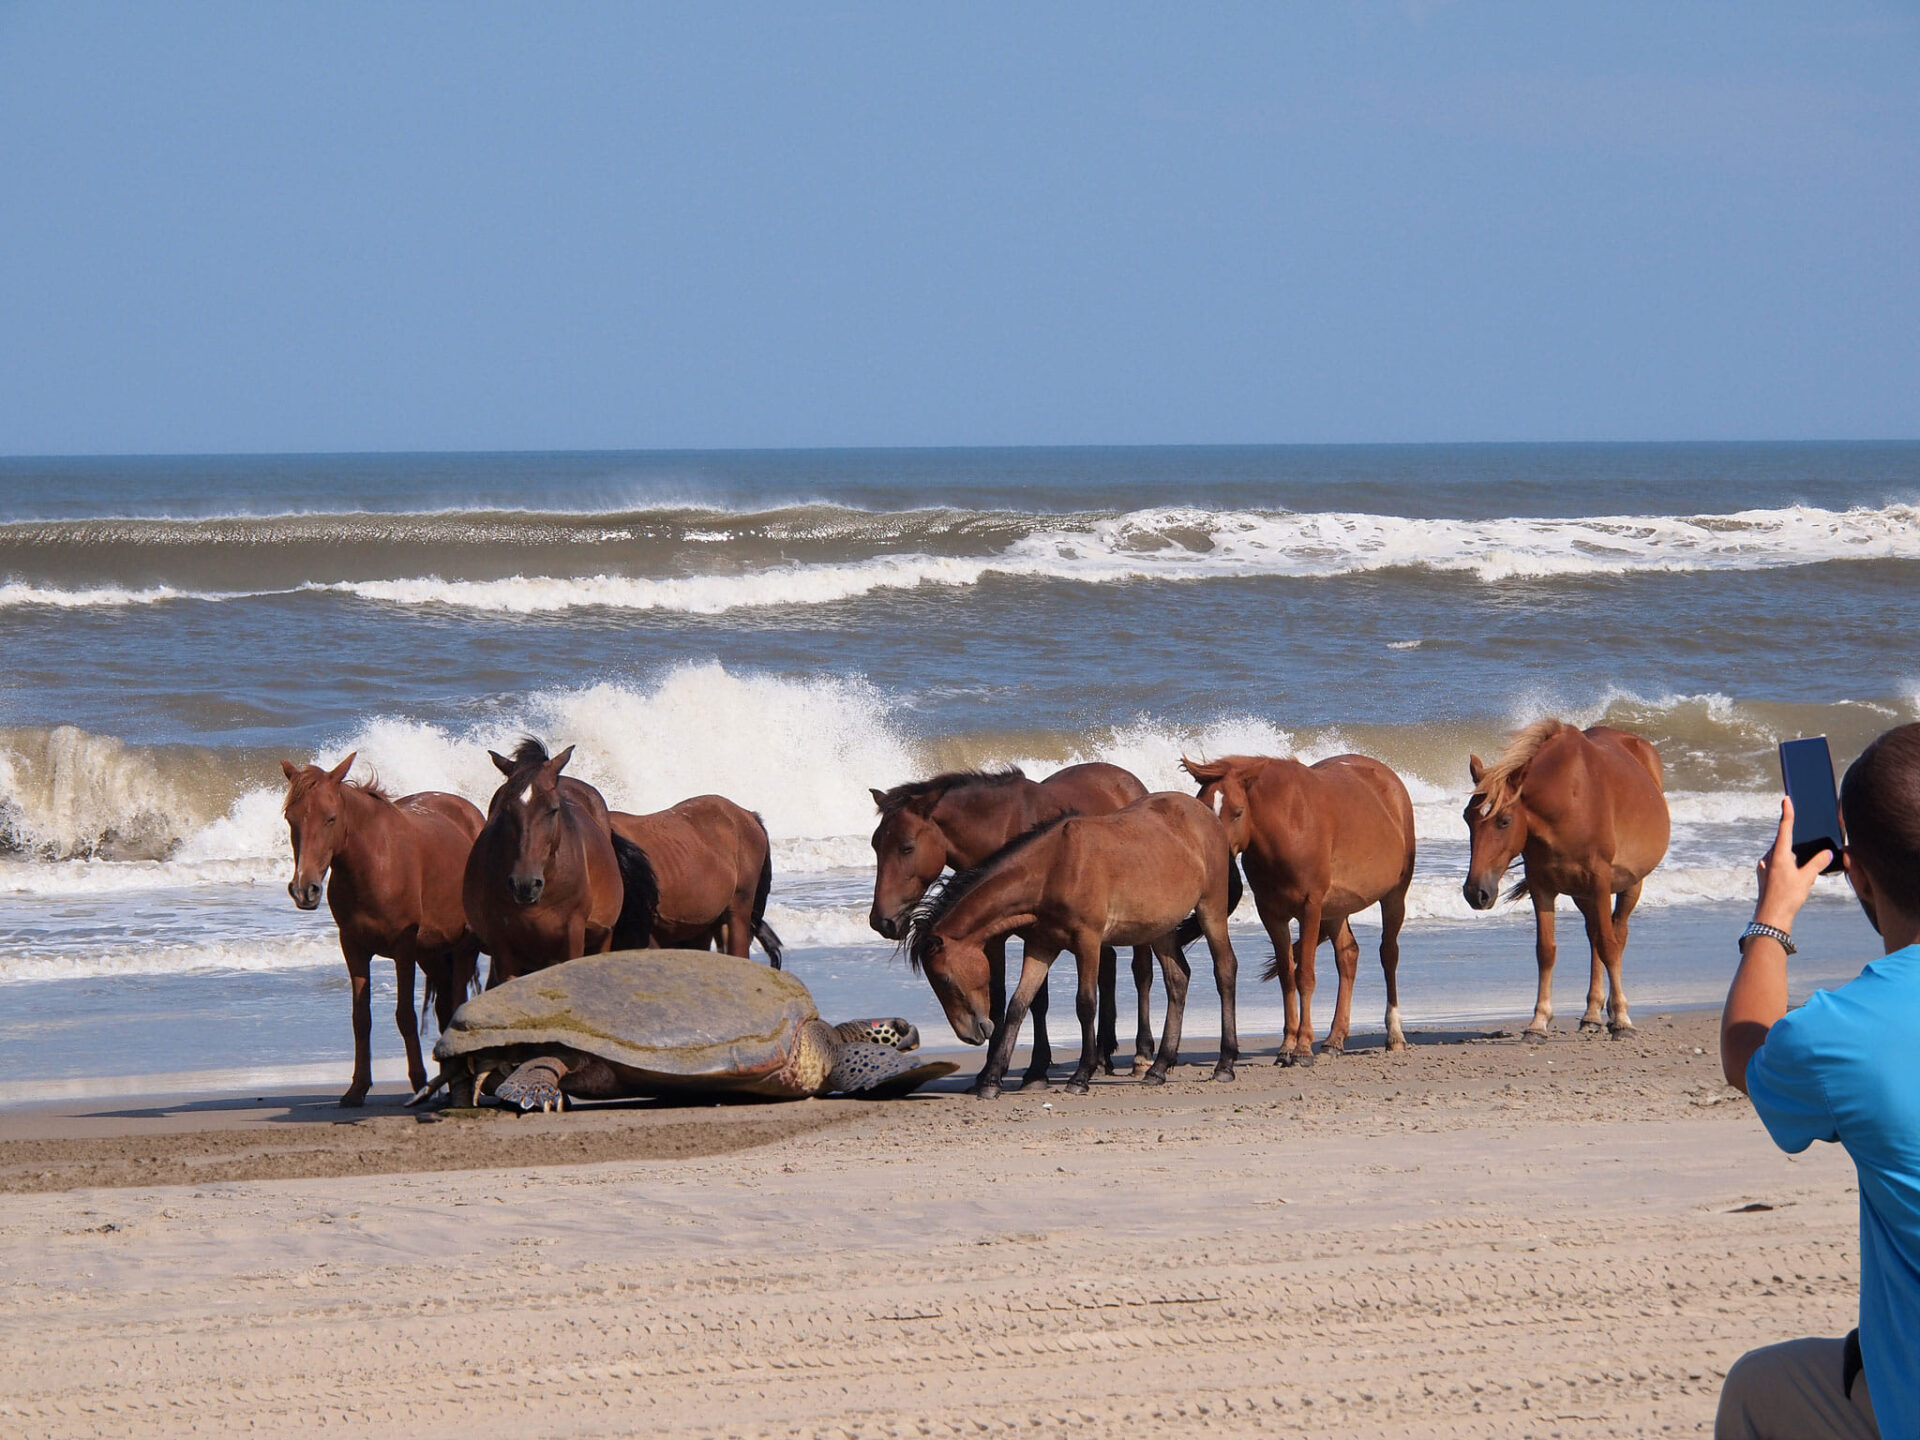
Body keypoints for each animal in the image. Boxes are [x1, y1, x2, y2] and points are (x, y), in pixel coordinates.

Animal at [280, 752, 484, 1107]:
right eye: (291, 820)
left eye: (331, 818)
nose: (305, 890)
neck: (373, 863)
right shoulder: (353, 947)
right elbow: (361, 1018)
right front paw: (357, 1088)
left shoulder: (403, 949)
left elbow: (405, 1016)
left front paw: (419, 1082)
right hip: (431, 954)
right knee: (445, 1006)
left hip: (461, 948)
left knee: (456, 1002)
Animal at [869, 762, 1157, 1087]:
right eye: (875, 845)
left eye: (906, 847)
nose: (882, 921)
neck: (1001, 830)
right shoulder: (991, 937)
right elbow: (999, 997)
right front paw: (990, 1070)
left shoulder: (1036, 934)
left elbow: (1037, 1001)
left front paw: (1035, 1070)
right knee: (1107, 969)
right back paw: (1105, 1052)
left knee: (1142, 974)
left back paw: (1142, 1053)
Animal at [906, 792, 1242, 1099]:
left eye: (944, 979)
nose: (971, 1034)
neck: (1053, 868)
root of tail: (1207, 815)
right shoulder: (1041, 946)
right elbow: (1018, 1005)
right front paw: (991, 1080)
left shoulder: (1088, 941)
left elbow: (1085, 1004)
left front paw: (1081, 1075)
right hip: (1160, 928)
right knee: (1177, 980)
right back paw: (1158, 1068)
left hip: (1210, 910)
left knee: (1225, 970)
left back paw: (1224, 1064)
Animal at [1182, 754, 1415, 1064]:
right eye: (1203, 808)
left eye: (1238, 812)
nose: (1213, 852)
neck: (1289, 826)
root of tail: (1389, 779)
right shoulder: (1271, 914)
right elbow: (1286, 975)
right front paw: (1287, 1045)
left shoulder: (1310, 908)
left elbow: (1304, 975)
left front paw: (1303, 1047)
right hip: (1335, 909)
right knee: (1348, 956)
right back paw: (1334, 1040)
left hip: (1393, 896)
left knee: (1388, 955)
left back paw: (1394, 1034)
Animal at [1462, 720, 1670, 1038]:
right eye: (1467, 819)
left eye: (1504, 821)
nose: (1476, 893)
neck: (1568, 802)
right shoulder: (1542, 887)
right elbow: (1546, 950)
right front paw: (1538, 1022)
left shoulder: (1599, 883)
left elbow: (1609, 946)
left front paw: (1622, 1019)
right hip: (1581, 893)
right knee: (1595, 936)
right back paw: (1592, 1014)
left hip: (1629, 885)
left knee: (1616, 935)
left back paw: (1613, 1012)